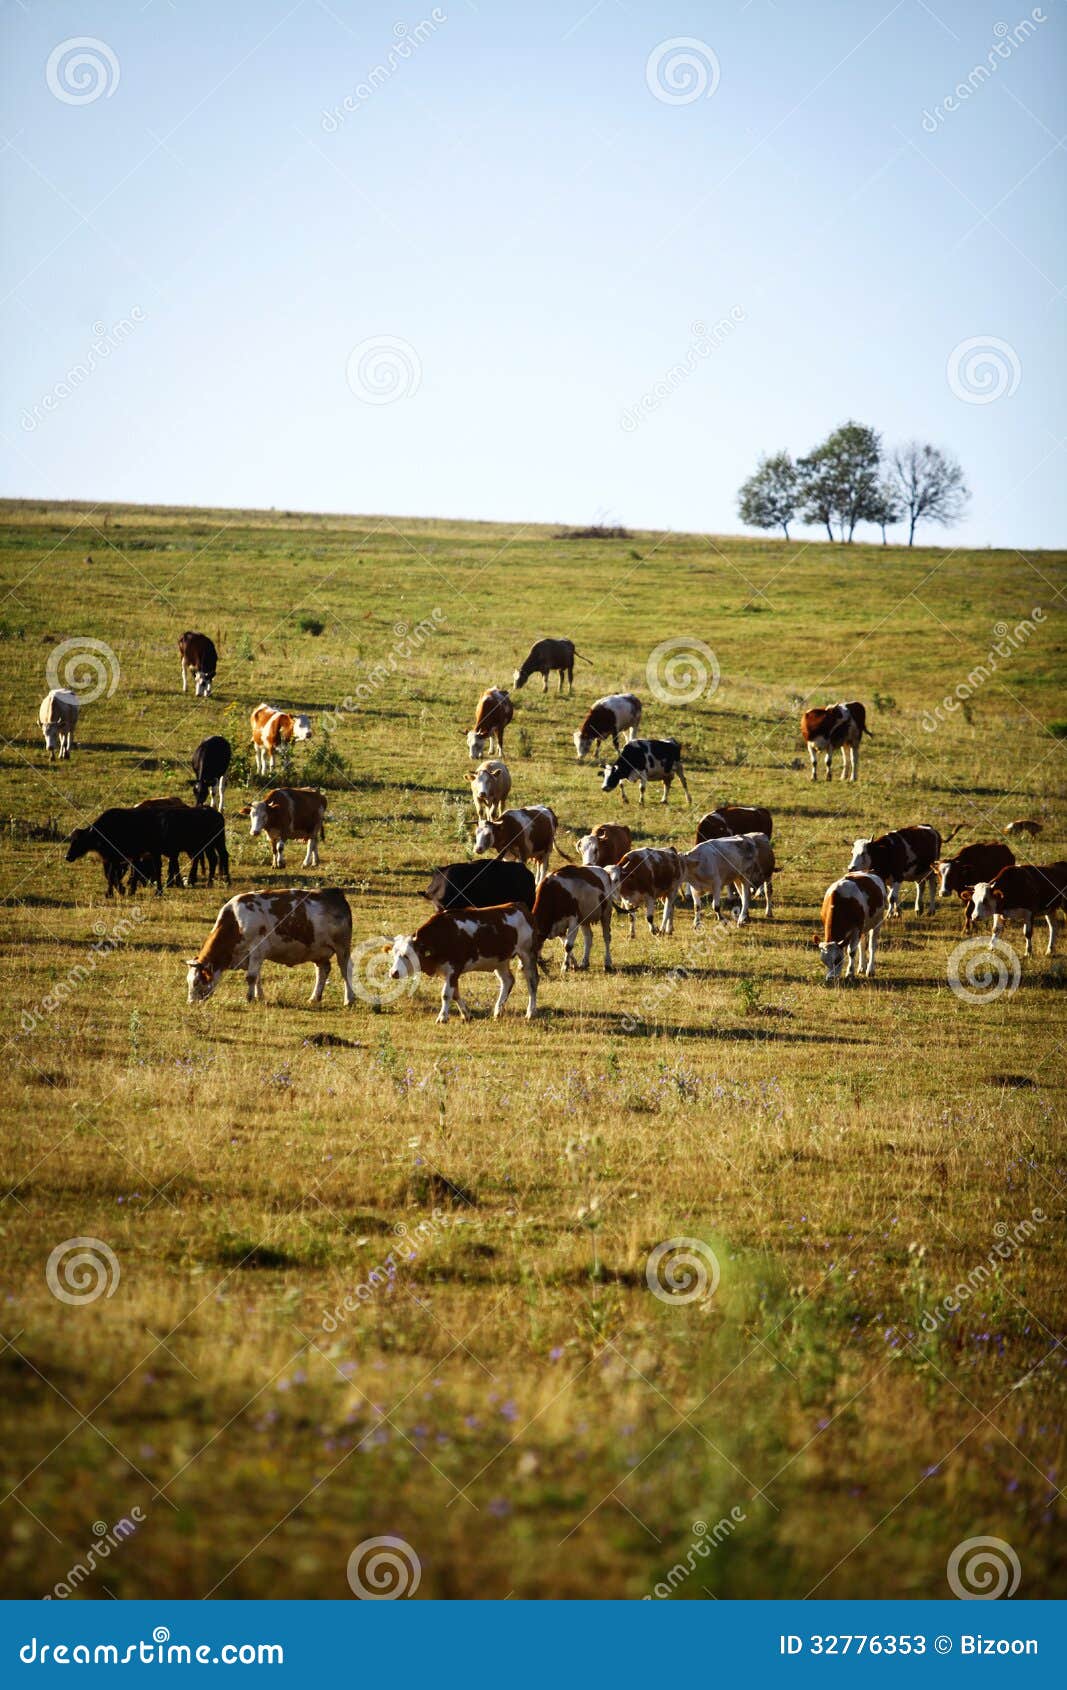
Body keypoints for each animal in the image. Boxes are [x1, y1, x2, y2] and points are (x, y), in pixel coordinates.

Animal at [186, 888, 355, 1006]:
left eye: (197, 982)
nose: (190, 1003)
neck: (237, 921)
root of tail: (335, 893)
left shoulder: (257, 950)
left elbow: (251, 977)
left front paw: (249, 998)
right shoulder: (252, 957)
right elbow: (257, 977)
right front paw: (259, 997)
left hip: (342, 947)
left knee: (346, 970)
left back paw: (349, 999)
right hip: (318, 951)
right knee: (323, 970)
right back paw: (314, 998)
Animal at [387, 904, 540, 1023]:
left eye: (407, 955)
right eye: (394, 954)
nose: (393, 973)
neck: (442, 936)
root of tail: (520, 907)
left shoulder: (454, 969)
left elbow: (446, 994)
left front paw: (443, 1017)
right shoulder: (449, 973)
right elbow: (455, 993)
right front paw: (466, 1014)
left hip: (527, 954)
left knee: (532, 981)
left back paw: (530, 1012)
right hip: (500, 961)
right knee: (508, 981)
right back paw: (498, 1011)